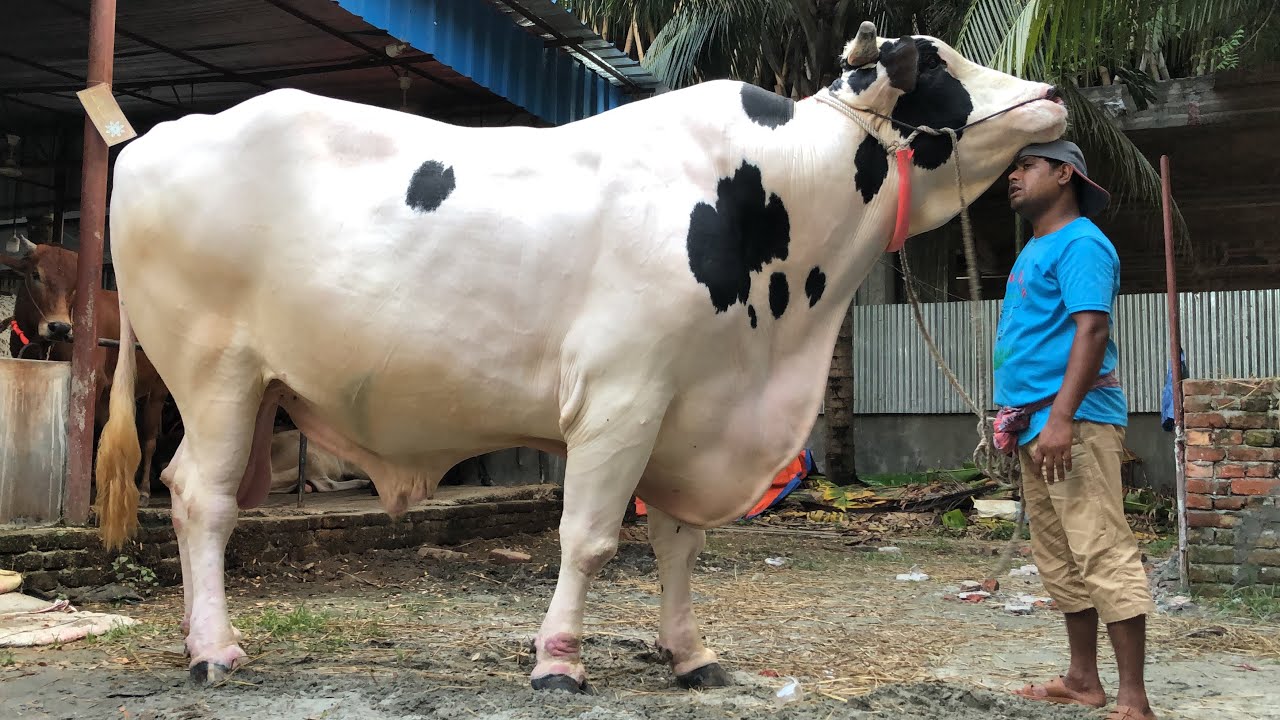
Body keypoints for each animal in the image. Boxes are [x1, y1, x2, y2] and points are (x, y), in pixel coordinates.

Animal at [0, 235, 170, 506]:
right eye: (36, 274)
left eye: (74, 285)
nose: (59, 327)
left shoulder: (94, 382)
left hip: (158, 390)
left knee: (149, 438)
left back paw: (143, 489)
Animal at [94, 25, 1067, 691]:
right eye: (935, 66)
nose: (1053, 90)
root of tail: (155, 137)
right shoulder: (622, 394)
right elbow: (590, 536)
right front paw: (558, 658)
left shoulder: (691, 408)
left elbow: (679, 541)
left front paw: (689, 653)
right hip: (214, 374)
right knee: (203, 500)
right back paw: (215, 649)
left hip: (251, 390)